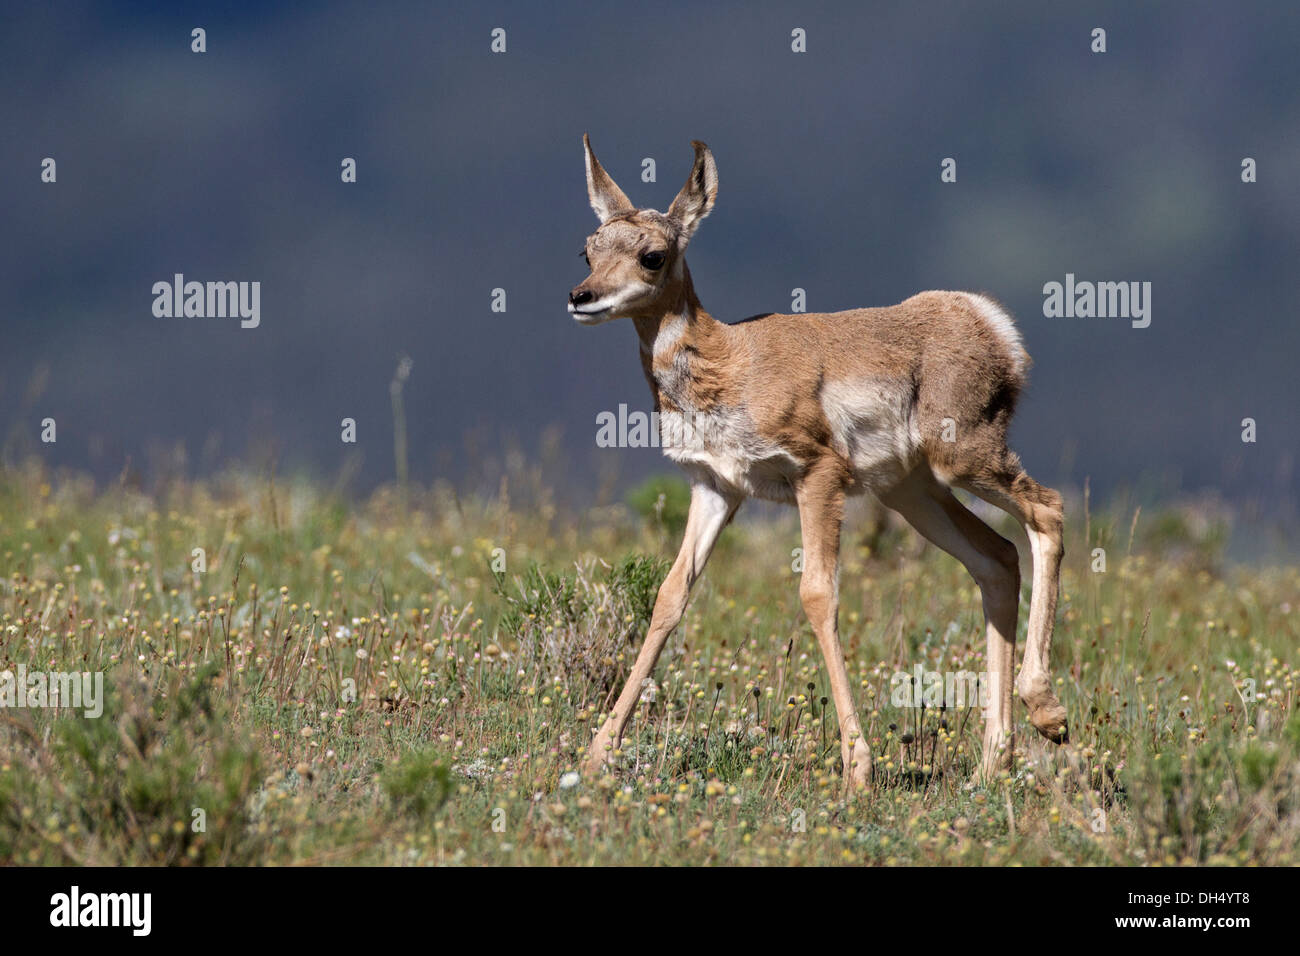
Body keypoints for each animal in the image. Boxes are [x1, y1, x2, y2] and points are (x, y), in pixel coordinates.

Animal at [569, 135, 1068, 789]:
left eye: (652, 255)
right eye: (588, 249)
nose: (581, 297)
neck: (731, 356)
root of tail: (980, 317)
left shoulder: (818, 476)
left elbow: (816, 594)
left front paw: (858, 766)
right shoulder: (716, 489)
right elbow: (671, 596)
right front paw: (597, 752)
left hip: (963, 461)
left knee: (1047, 513)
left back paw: (1048, 712)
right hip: (911, 493)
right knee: (998, 559)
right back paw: (992, 762)